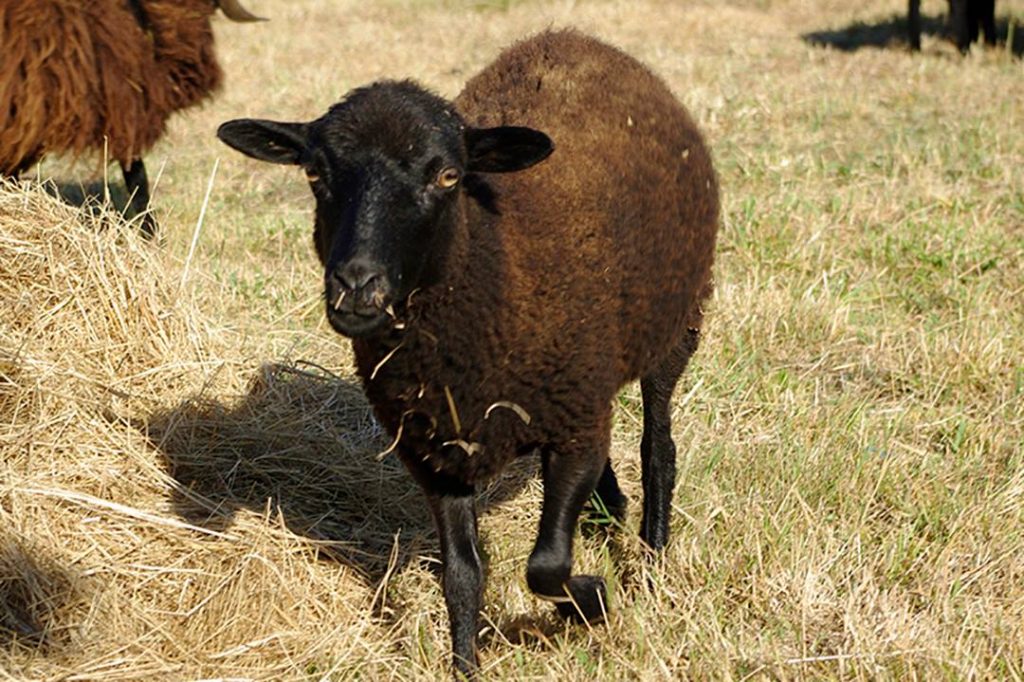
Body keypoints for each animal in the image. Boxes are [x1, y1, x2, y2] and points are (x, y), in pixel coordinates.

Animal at [217, 28, 719, 675]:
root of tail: (576, 37)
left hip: (676, 325)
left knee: (659, 447)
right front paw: (466, 665)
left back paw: (651, 561)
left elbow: (546, 566)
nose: (357, 287)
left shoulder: (573, 431)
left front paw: (592, 602)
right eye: (313, 172)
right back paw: (610, 514)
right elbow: (461, 574)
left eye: (449, 176)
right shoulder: (436, 451)